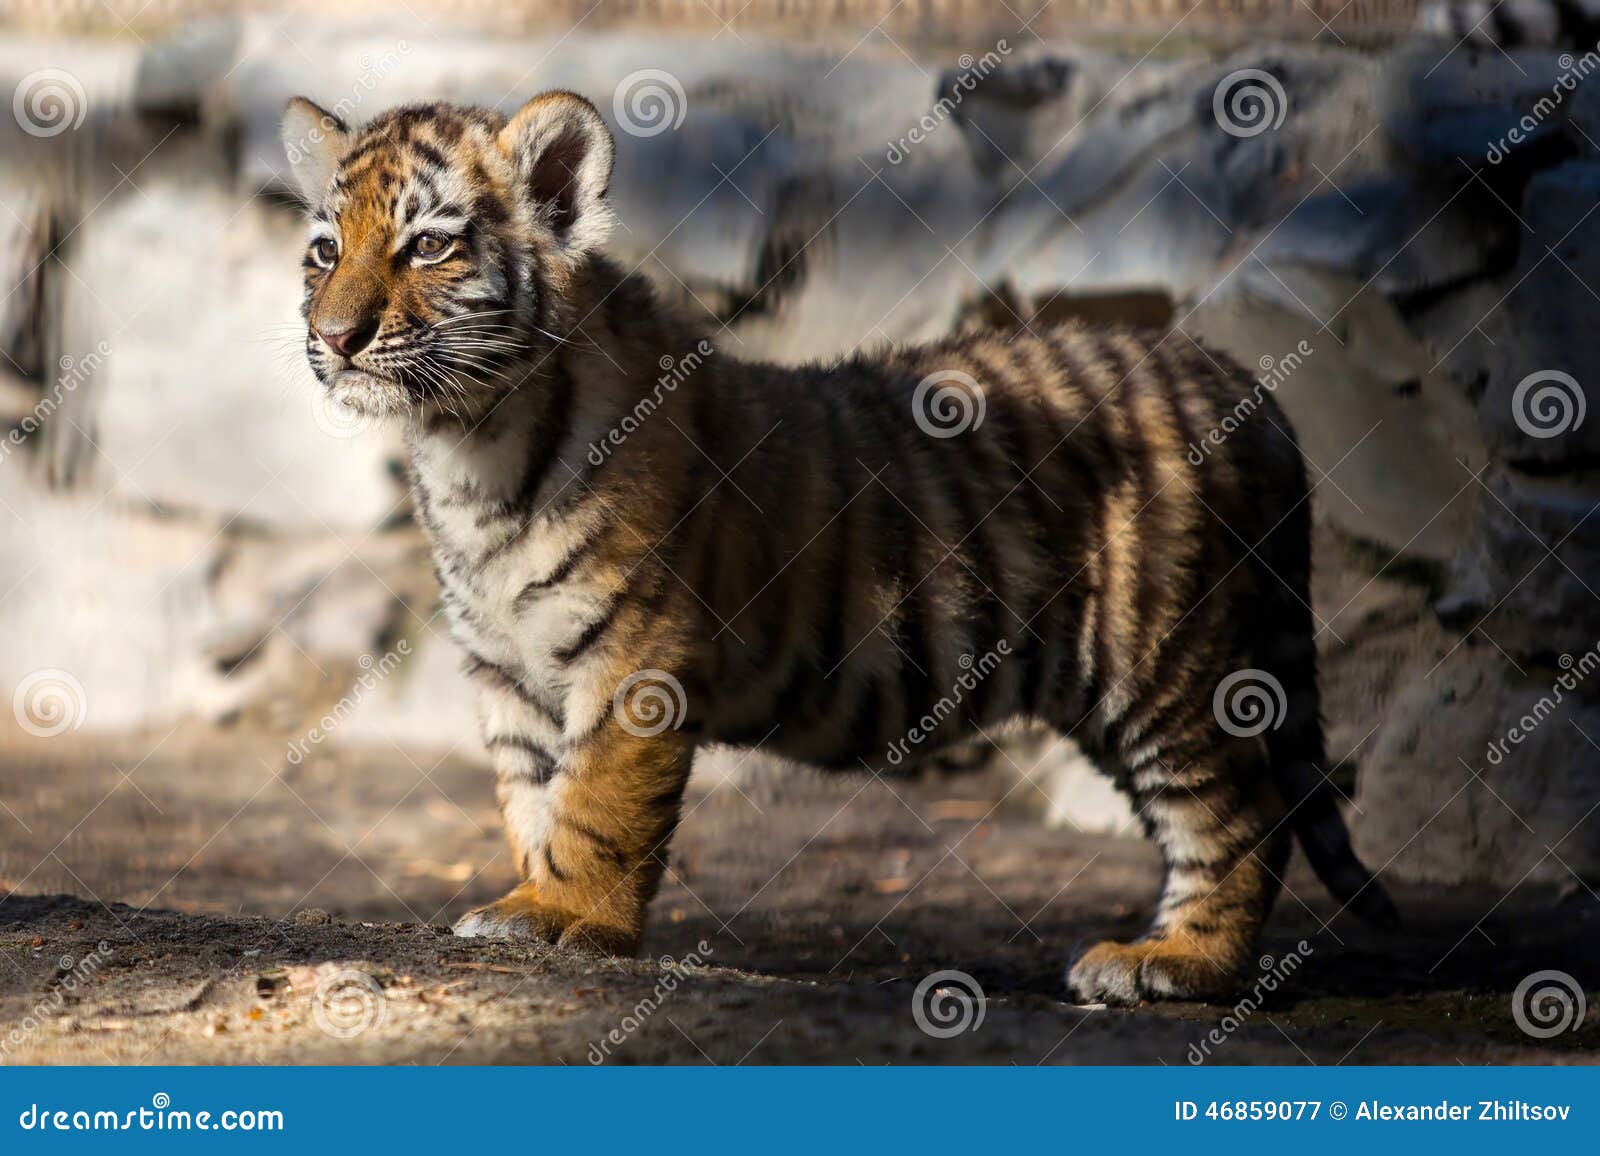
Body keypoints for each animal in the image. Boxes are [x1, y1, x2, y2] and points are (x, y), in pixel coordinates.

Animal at [279, 90, 1397, 1005]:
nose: (333, 339)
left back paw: (1172, 968)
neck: (468, 449)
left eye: (427, 246)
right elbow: (532, 801)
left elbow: (597, 804)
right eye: (325, 249)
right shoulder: (505, 674)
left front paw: (568, 918)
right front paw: (527, 895)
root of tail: (1230, 374)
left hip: (1168, 665)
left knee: (1243, 814)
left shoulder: (636, 656)